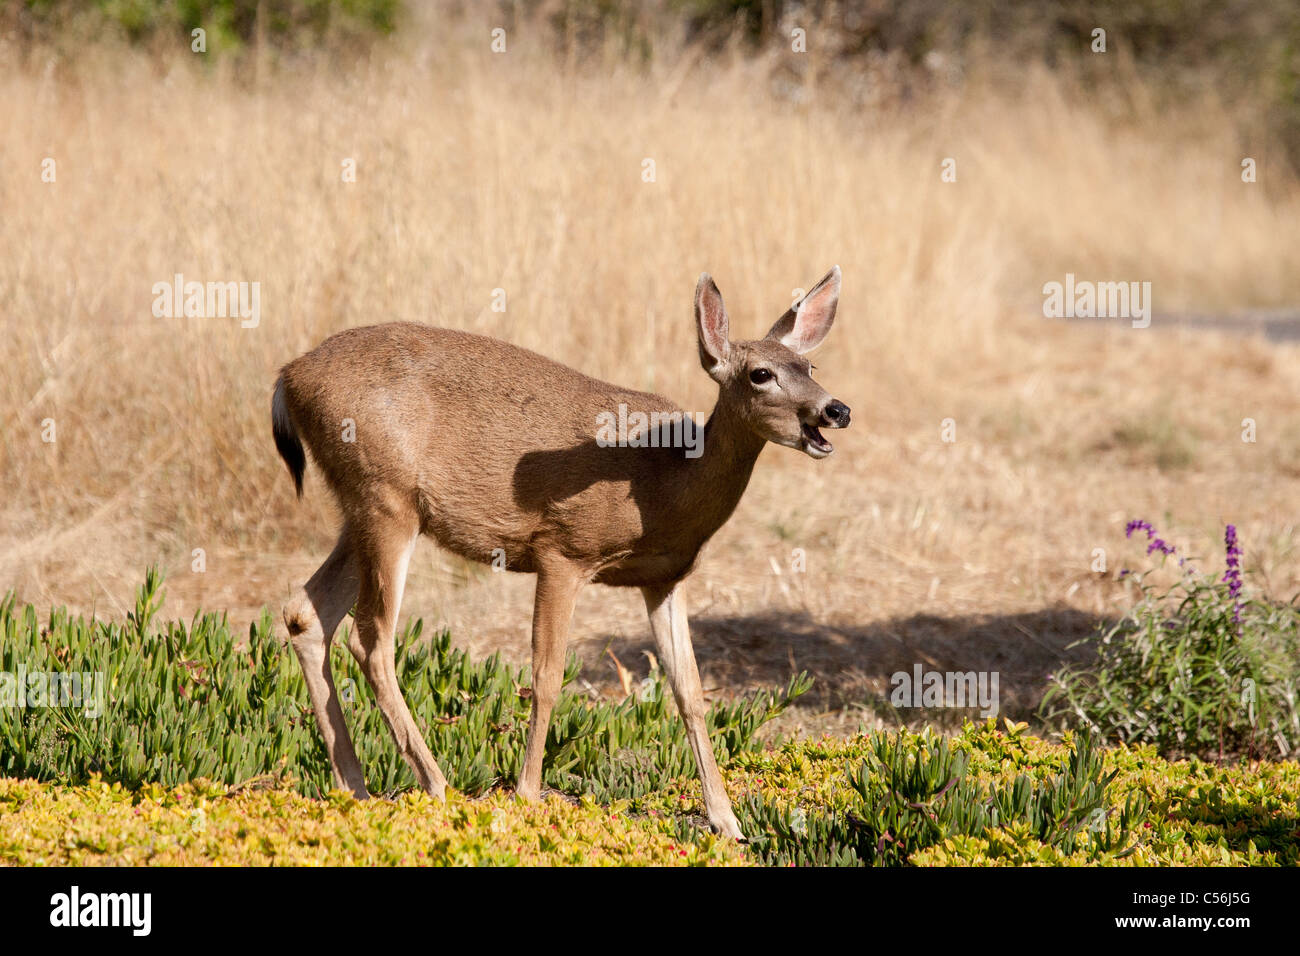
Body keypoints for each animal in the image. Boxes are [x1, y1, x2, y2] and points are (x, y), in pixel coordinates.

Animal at [272, 266, 850, 839]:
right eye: (760, 374)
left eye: (810, 365)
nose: (836, 409)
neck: (663, 484)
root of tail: (287, 377)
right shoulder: (561, 551)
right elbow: (547, 676)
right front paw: (527, 794)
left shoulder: (665, 578)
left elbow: (689, 688)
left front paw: (726, 821)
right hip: (387, 499)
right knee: (371, 637)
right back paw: (436, 786)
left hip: (363, 509)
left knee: (307, 614)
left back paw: (356, 790)